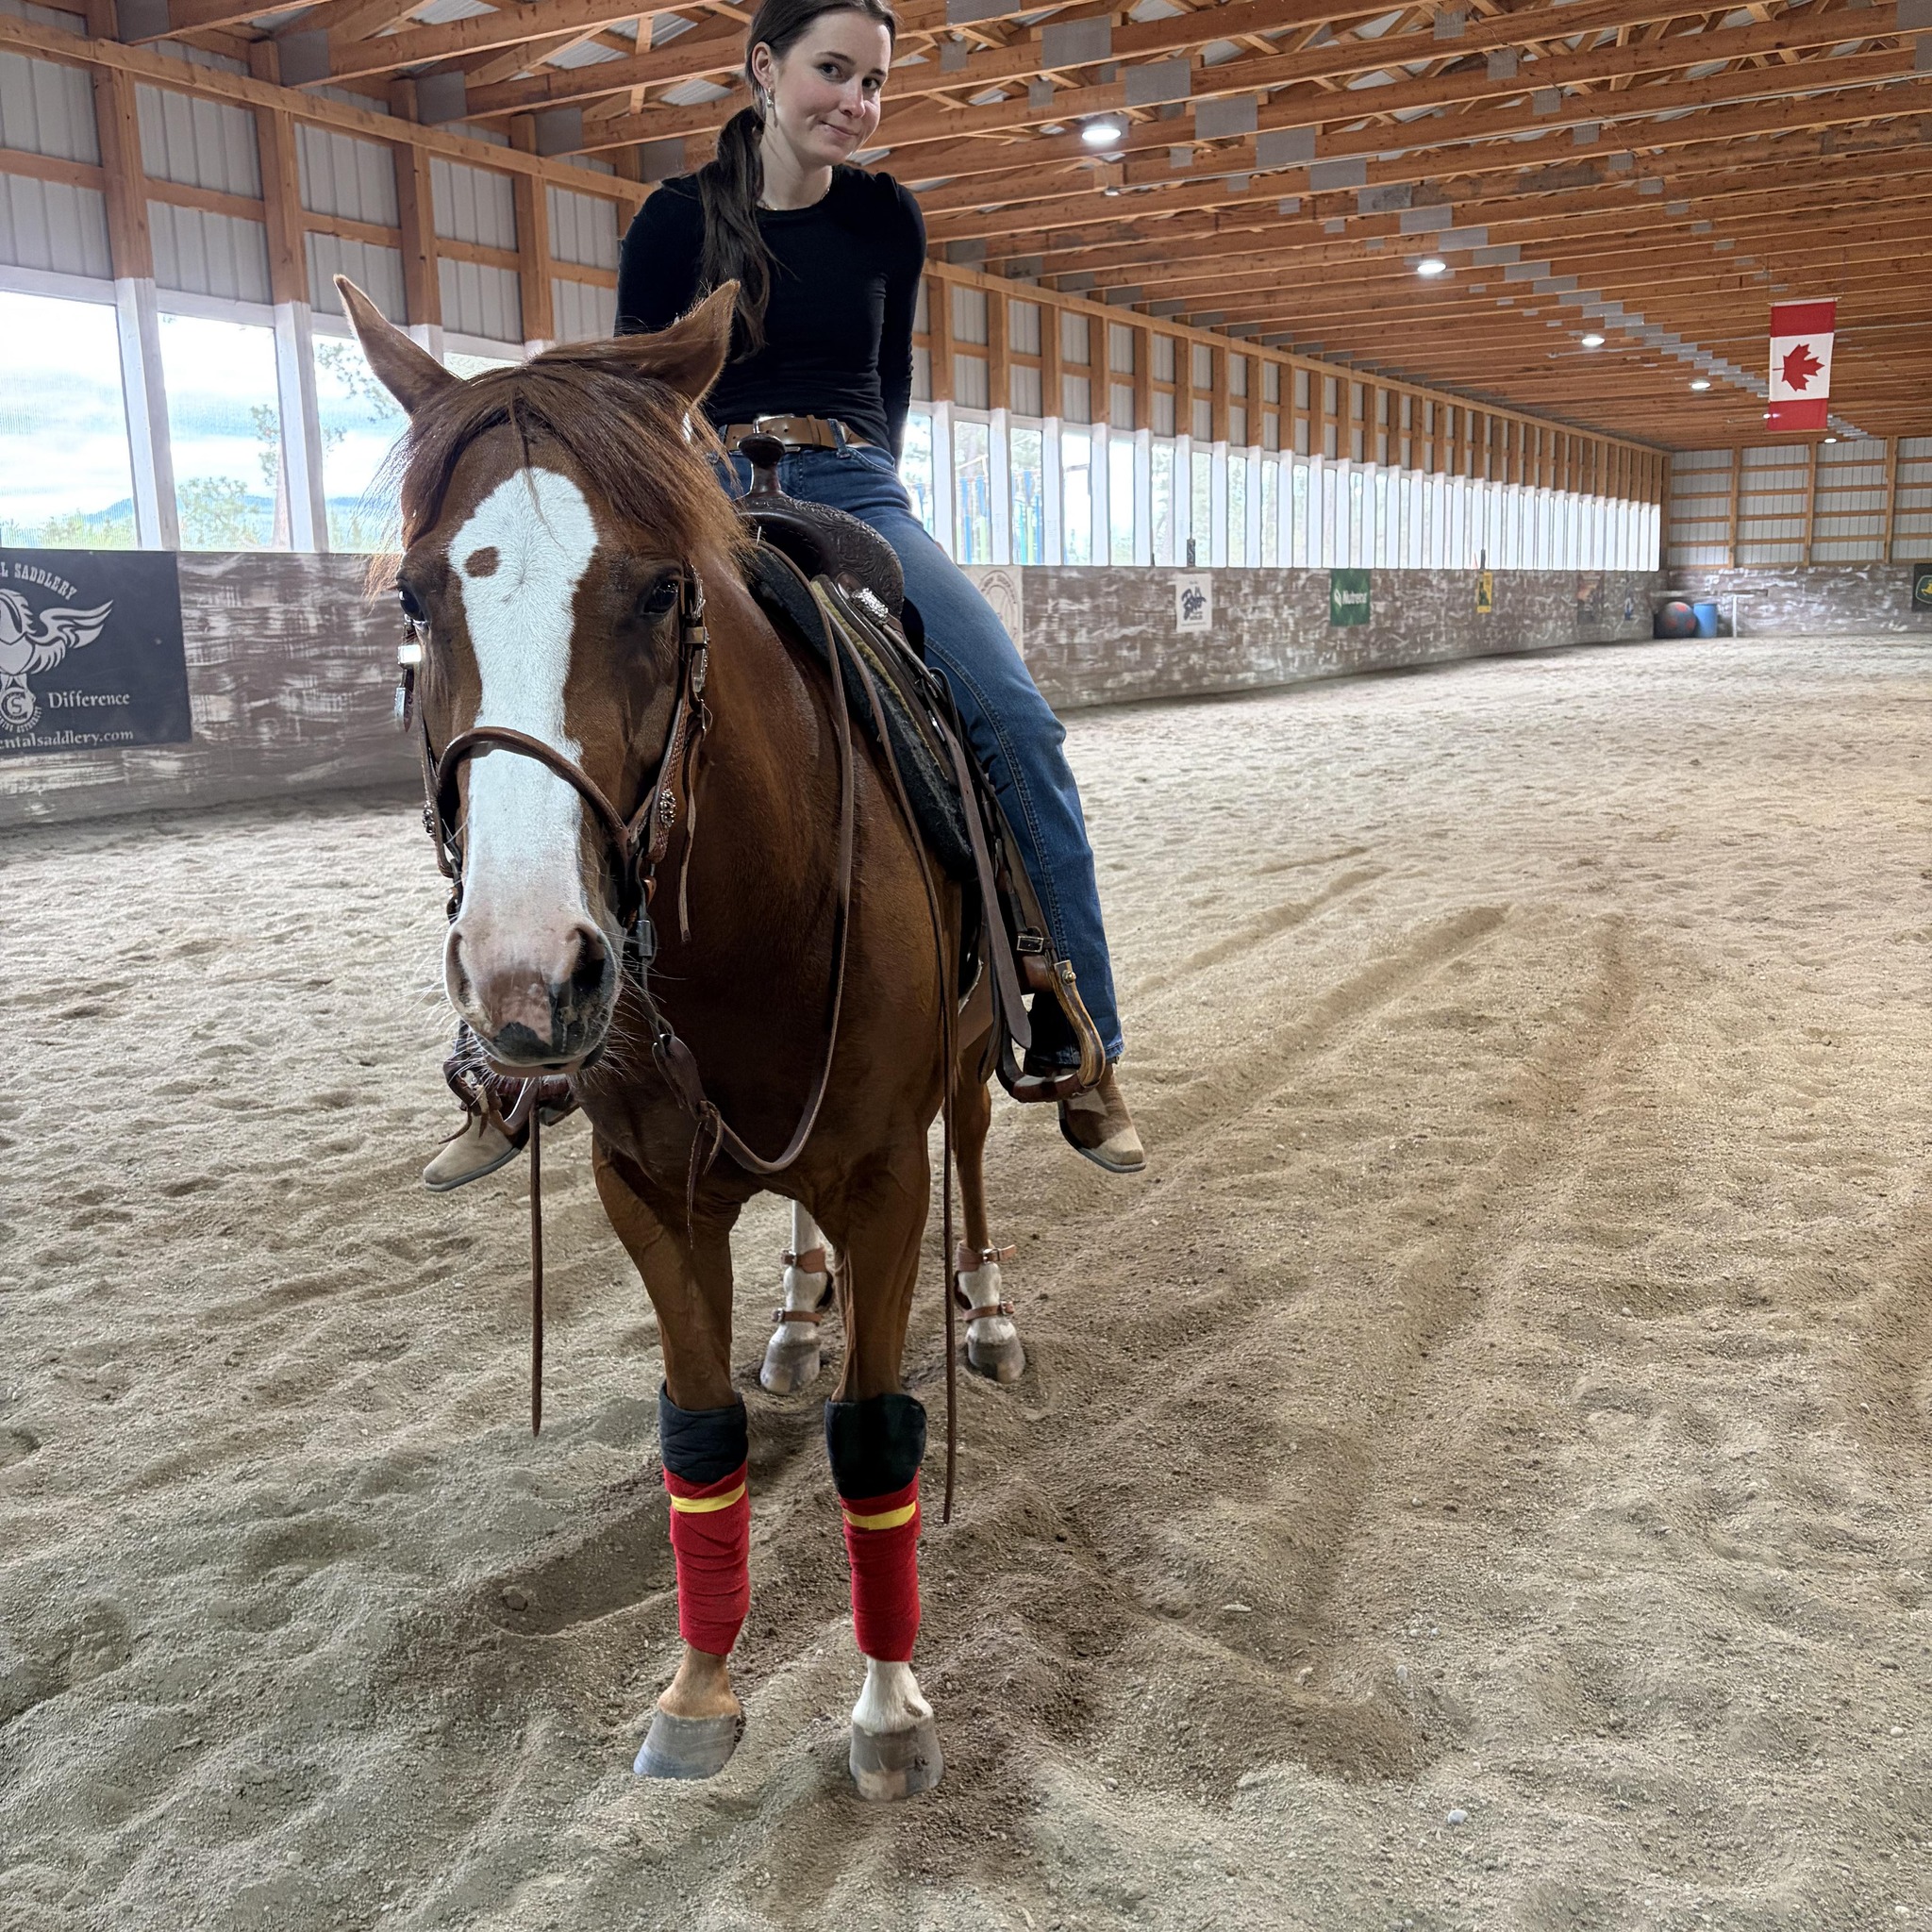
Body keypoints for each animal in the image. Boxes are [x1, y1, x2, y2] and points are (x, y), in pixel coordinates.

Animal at [338, 275, 1029, 1799]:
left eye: (661, 592)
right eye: (416, 596)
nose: (533, 975)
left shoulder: (886, 1173)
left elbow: (875, 1440)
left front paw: (889, 1711)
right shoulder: (647, 1187)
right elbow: (695, 1427)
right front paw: (699, 1686)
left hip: (964, 1071)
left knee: (976, 1153)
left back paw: (988, 1307)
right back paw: (796, 1310)